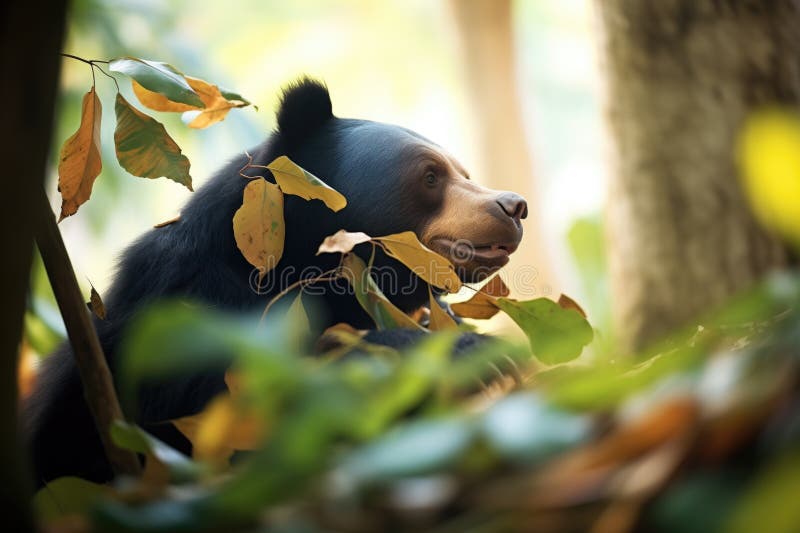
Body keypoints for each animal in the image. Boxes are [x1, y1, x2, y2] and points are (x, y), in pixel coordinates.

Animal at [24, 78, 527, 486]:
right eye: (430, 177)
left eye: (465, 174)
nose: (513, 206)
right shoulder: (181, 299)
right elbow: (208, 402)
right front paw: (474, 355)